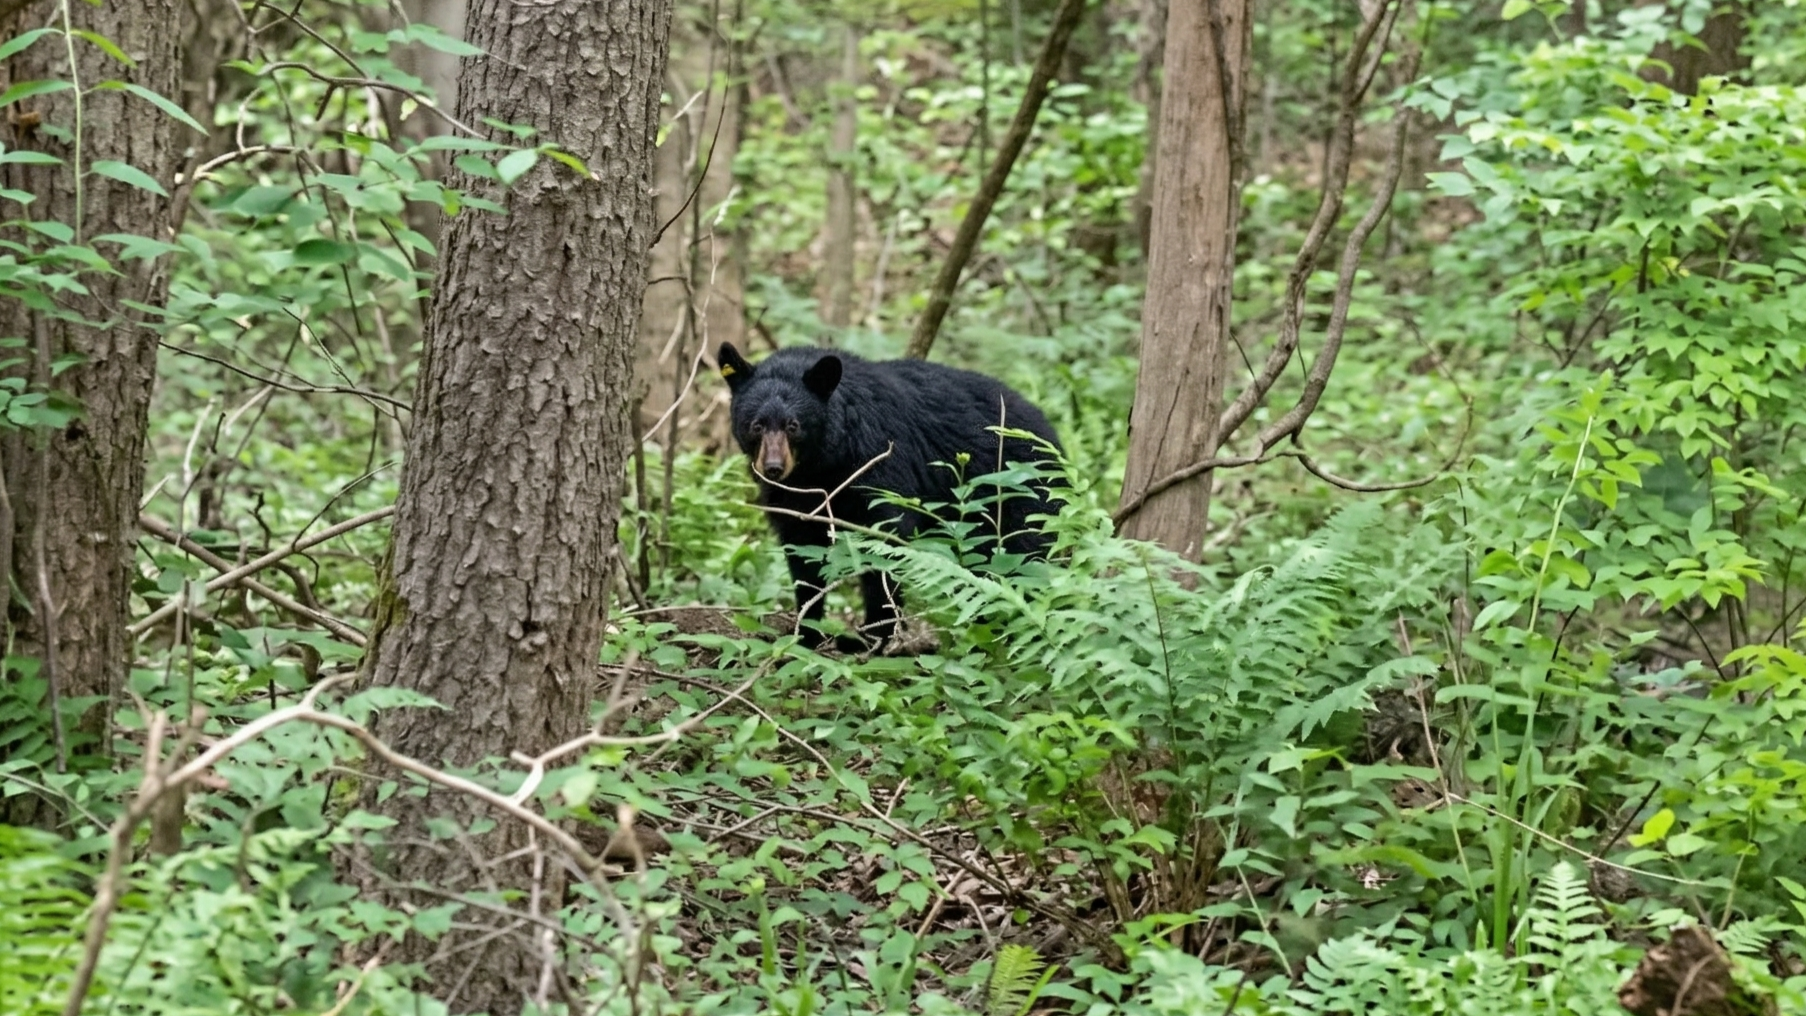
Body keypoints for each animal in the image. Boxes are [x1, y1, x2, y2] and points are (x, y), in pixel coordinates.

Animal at [717, 341, 1064, 651]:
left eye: (793, 425)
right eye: (756, 425)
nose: (773, 468)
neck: (824, 465)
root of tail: (1051, 433)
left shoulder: (881, 464)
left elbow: (884, 544)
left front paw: (869, 637)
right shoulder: (794, 497)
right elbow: (804, 553)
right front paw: (805, 631)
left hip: (1017, 492)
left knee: (1024, 557)